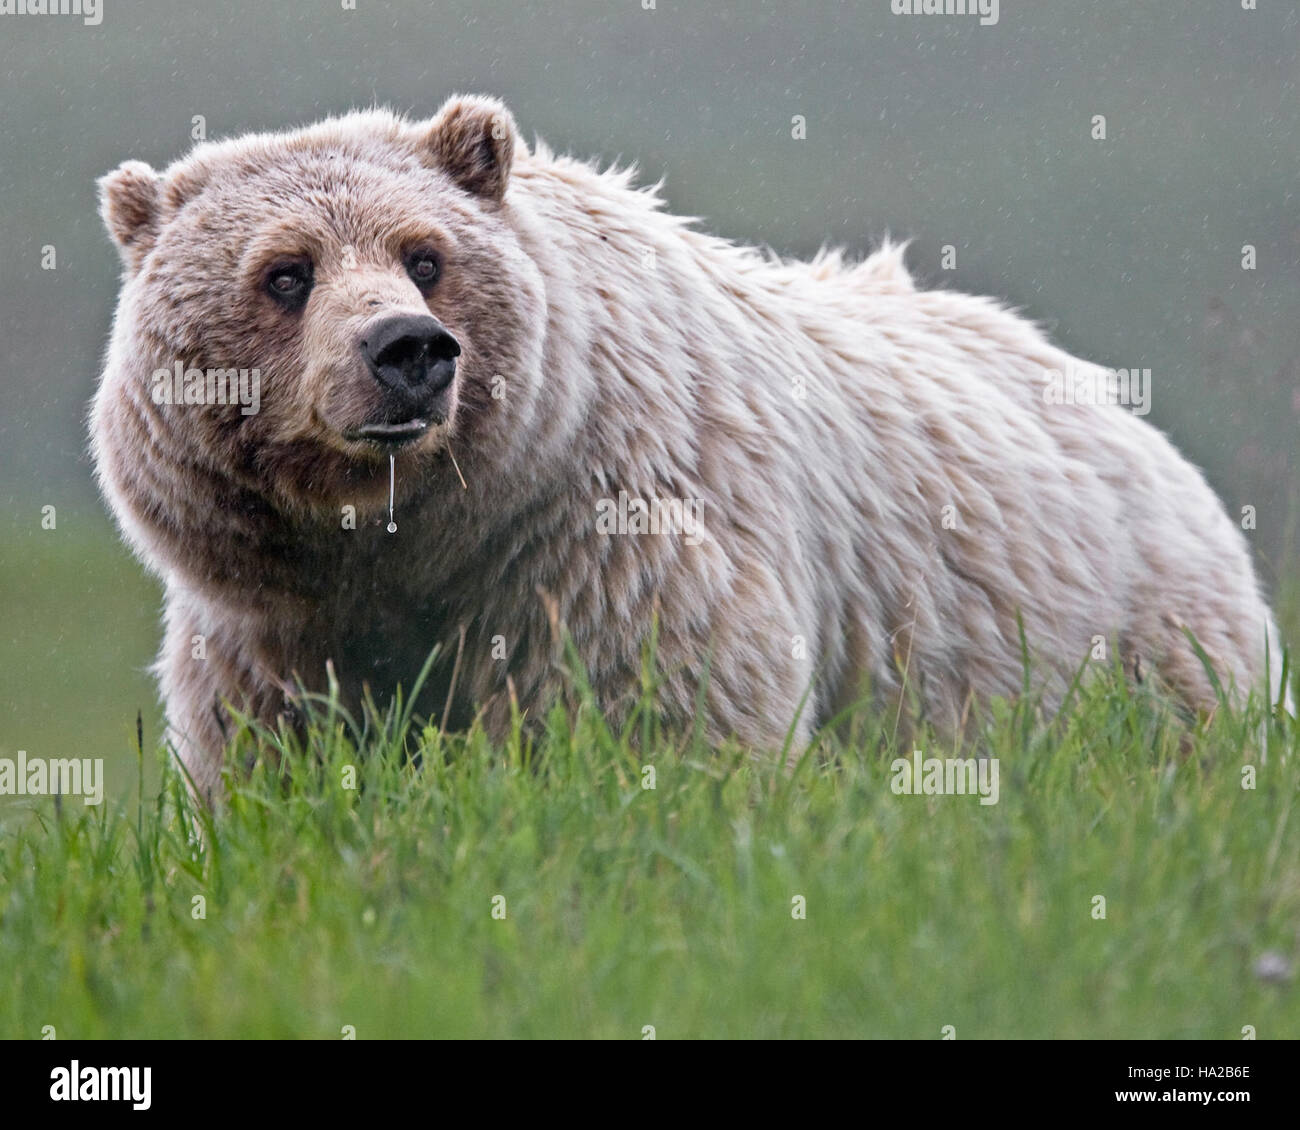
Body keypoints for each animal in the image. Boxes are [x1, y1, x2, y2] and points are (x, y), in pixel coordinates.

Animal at [92, 94, 1285, 800]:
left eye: (424, 255)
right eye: (285, 272)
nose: (407, 350)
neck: (416, 536)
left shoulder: (601, 538)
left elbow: (655, 713)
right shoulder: (277, 626)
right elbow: (284, 758)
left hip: (1127, 646)